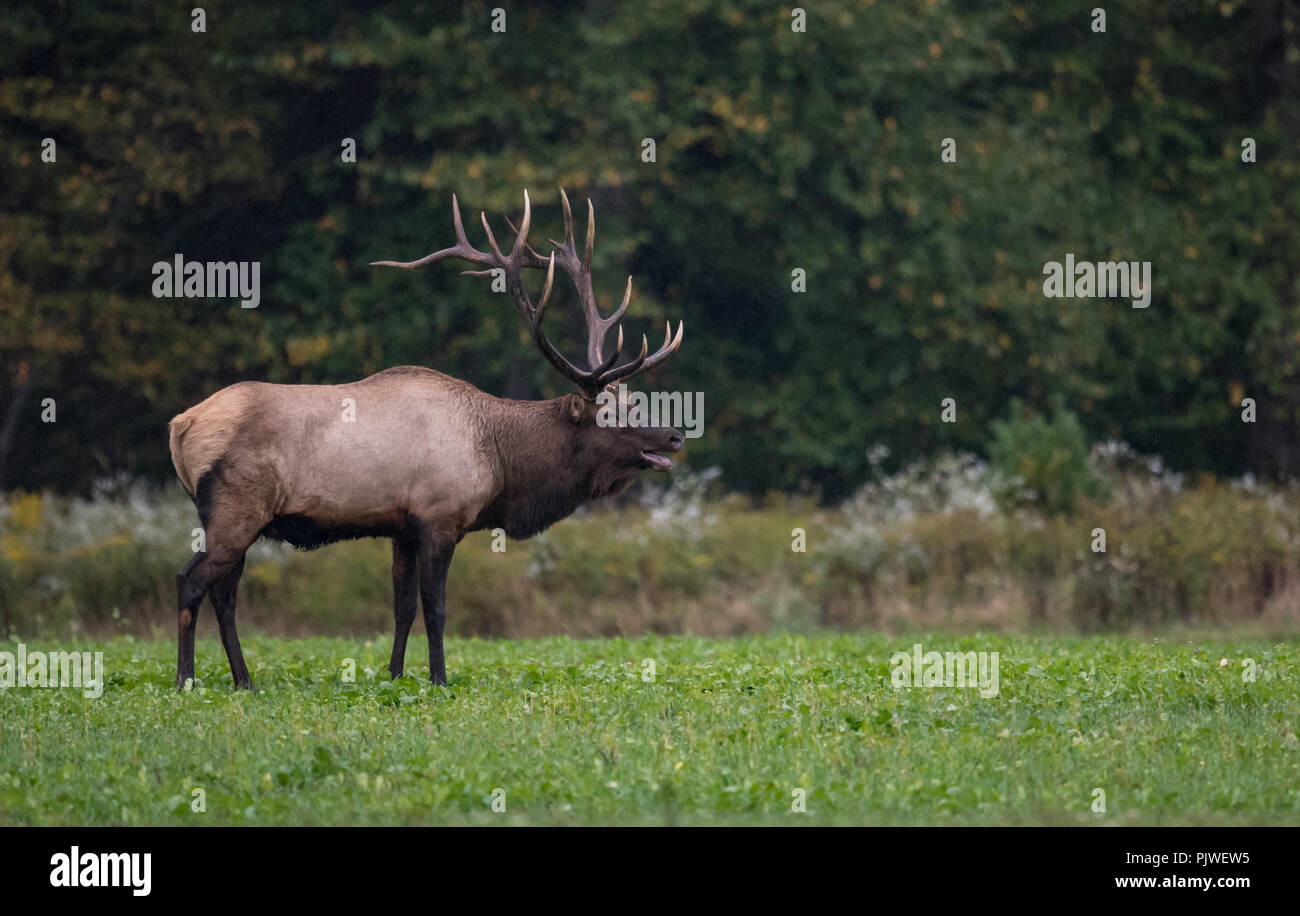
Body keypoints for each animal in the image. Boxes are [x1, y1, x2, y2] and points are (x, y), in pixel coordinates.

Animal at [167, 189, 685, 689]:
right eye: (613, 414)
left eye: (635, 403)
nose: (675, 435)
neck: (500, 462)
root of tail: (180, 425)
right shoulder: (440, 516)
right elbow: (436, 610)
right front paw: (439, 679)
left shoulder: (402, 527)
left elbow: (403, 608)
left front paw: (396, 676)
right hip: (236, 508)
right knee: (190, 581)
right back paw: (186, 679)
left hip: (232, 517)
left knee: (224, 593)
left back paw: (243, 680)